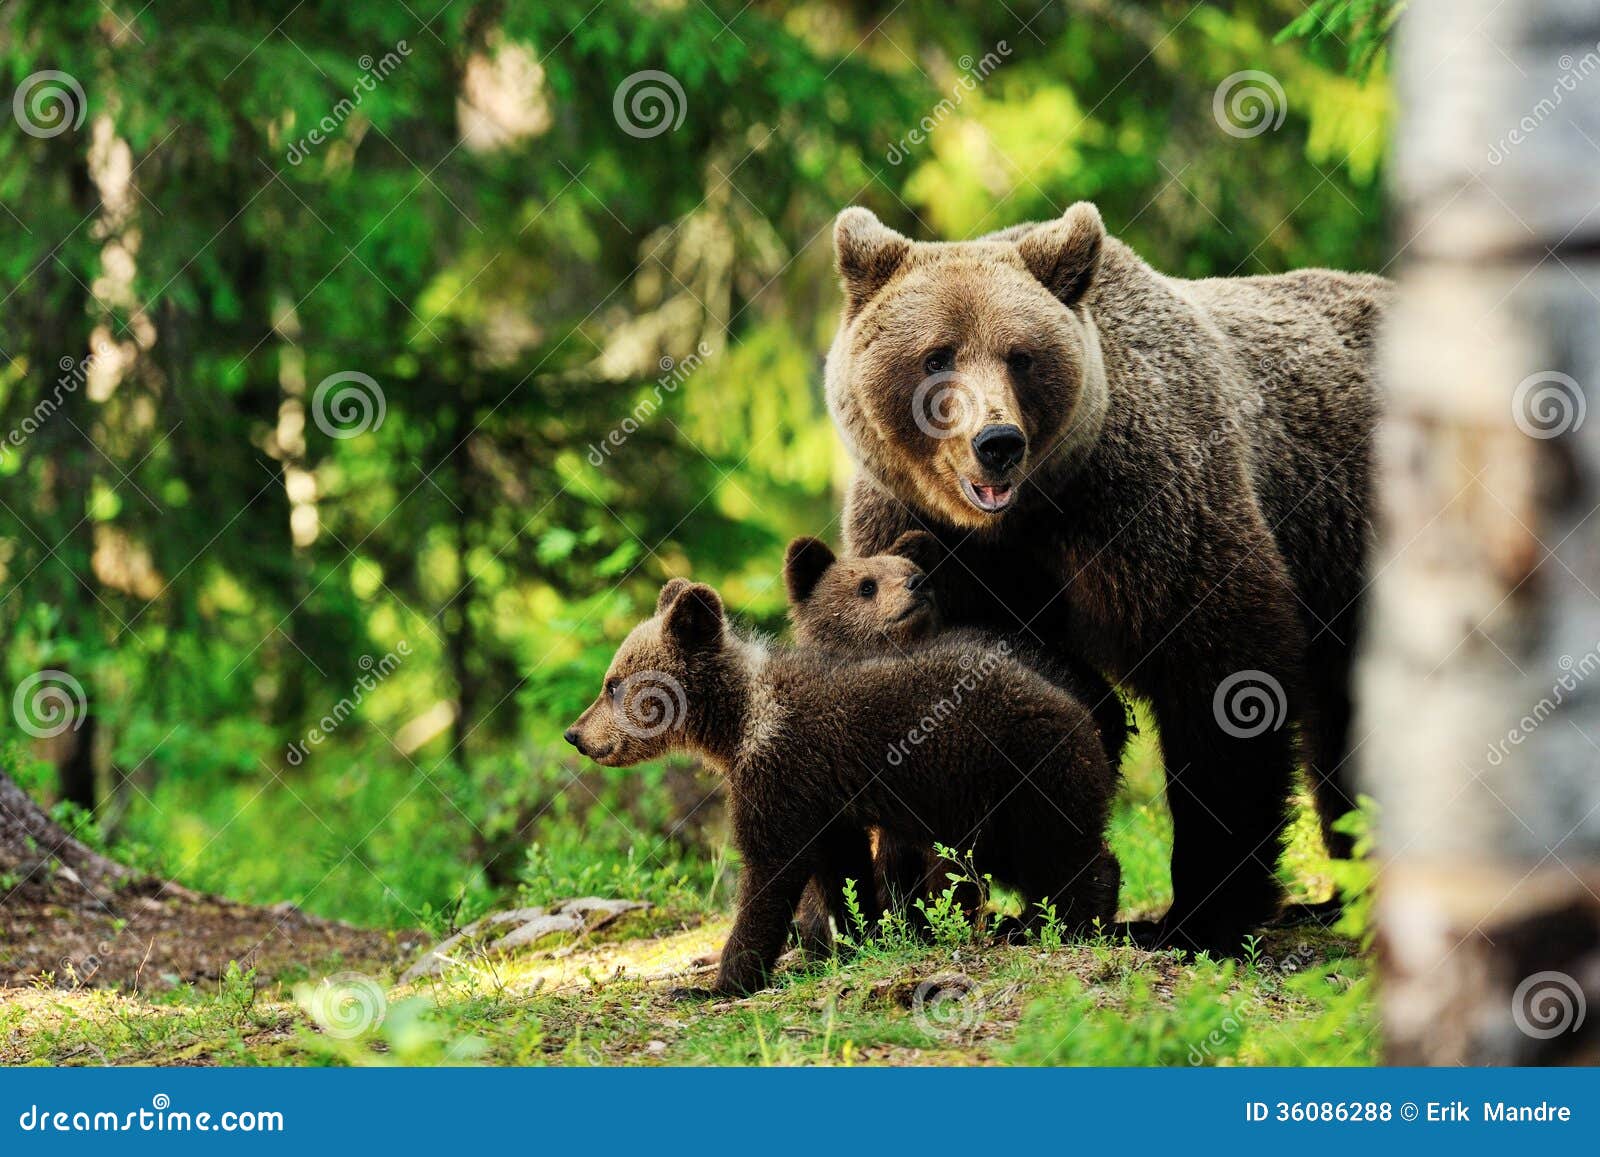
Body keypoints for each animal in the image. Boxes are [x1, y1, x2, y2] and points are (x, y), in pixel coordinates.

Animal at [563, 578, 1121, 994]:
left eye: (612, 684)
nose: (575, 734)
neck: (738, 722)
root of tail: (1081, 711)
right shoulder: (824, 795)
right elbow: (841, 869)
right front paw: (859, 938)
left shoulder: (781, 769)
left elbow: (770, 871)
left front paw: (717, 982)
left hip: (1014, 778)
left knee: (1059, 853)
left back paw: (1071, 922)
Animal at [824, 201, 1391, 952]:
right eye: (936, 355)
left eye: (1021, 356)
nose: (996, 442)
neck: (1026, 517)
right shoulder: (921, 537)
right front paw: (918, 899)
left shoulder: (1146, 506)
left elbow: (1220, 669)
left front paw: (1199, 913)